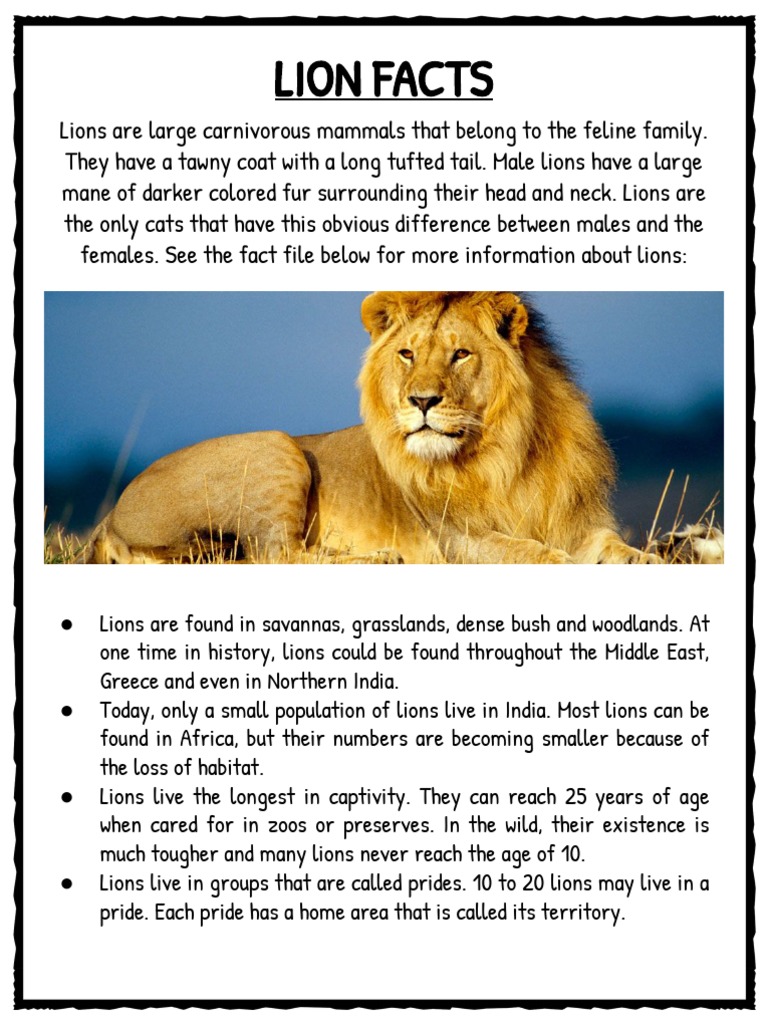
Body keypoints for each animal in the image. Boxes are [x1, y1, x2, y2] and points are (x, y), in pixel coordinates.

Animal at [86, 291, 657, 565]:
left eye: (461, 354)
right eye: (407, 354)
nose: (421, 401)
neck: (508, 451)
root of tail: (110, 518)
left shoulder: (575, 520)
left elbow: (609, 542)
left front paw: (645, 559)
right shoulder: (457, 540)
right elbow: (530, 552)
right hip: (276, 447)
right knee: (274, 557)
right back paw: (379, 559)